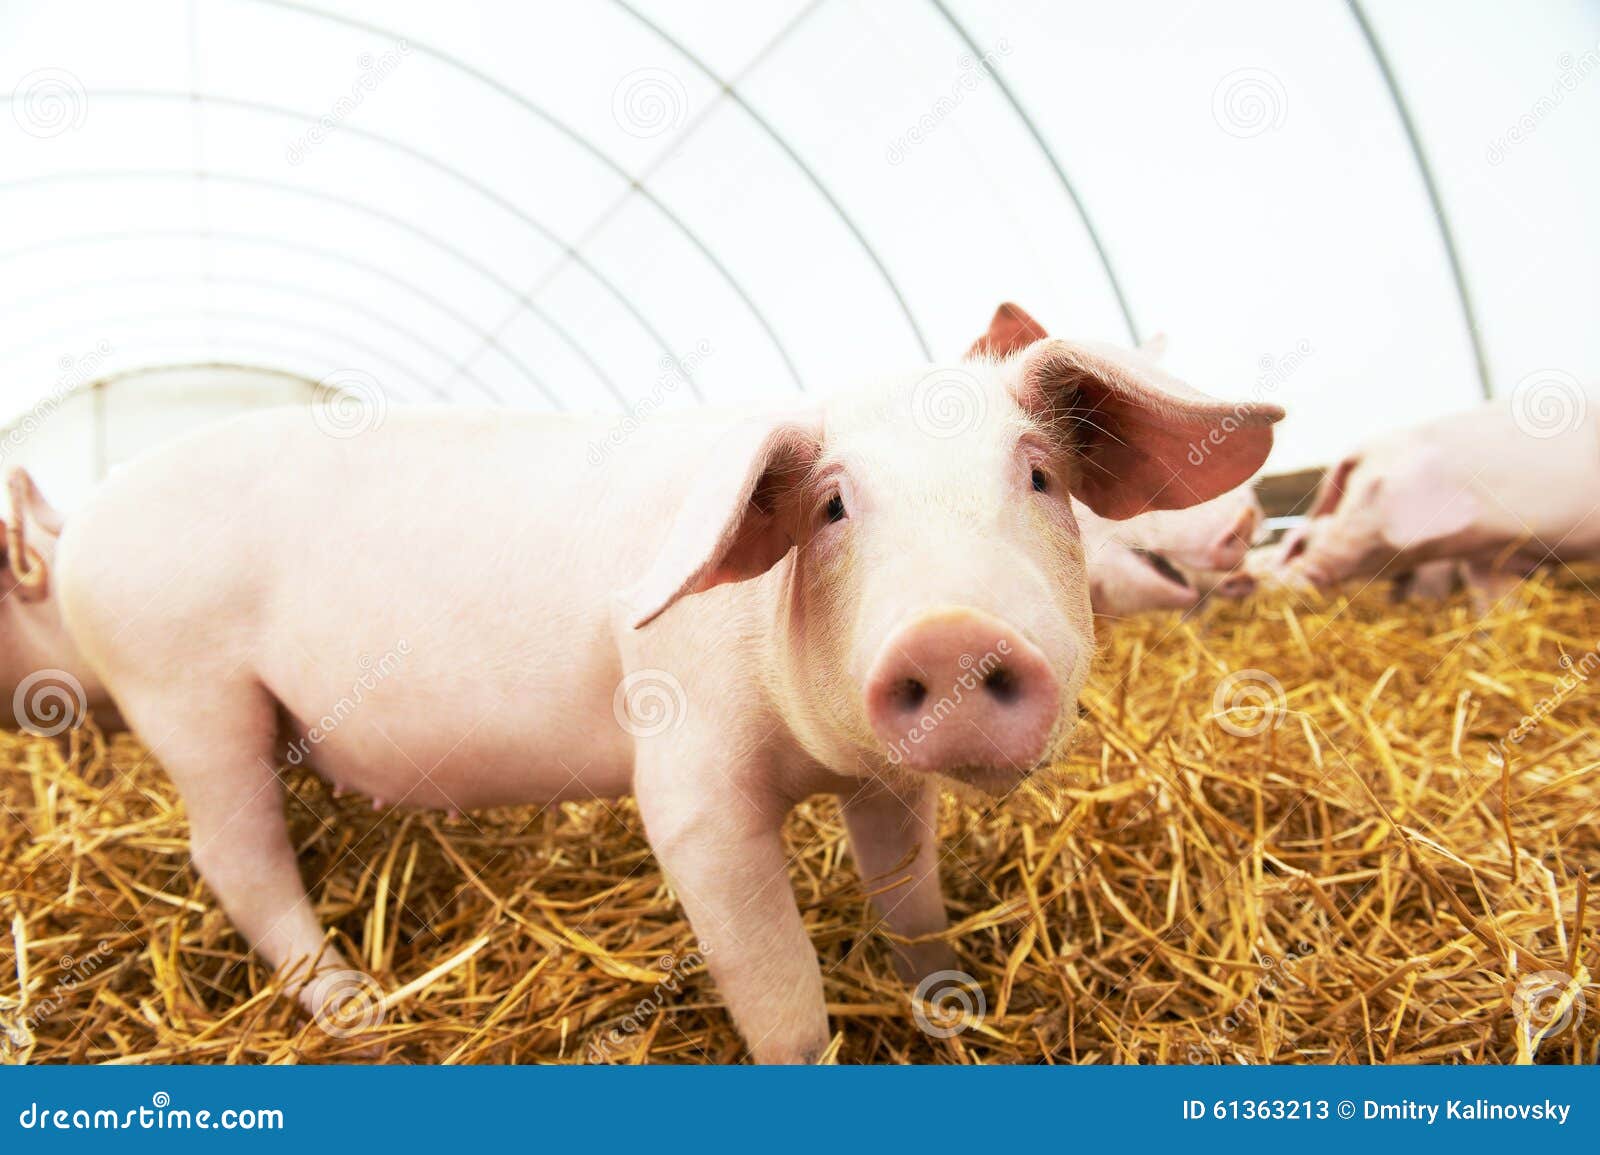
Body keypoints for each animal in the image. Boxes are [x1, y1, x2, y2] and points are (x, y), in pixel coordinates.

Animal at [46, 342, 1280, 1062]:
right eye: (833, 507)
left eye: (1036, 475)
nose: (952, 630)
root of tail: (83, 522)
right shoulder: (687, 782)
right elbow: (778, 989)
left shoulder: (883, 783)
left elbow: (910, 893)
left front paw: (953, 1007)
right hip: (184, 690)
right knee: (232, 852)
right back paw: (360, 1008)